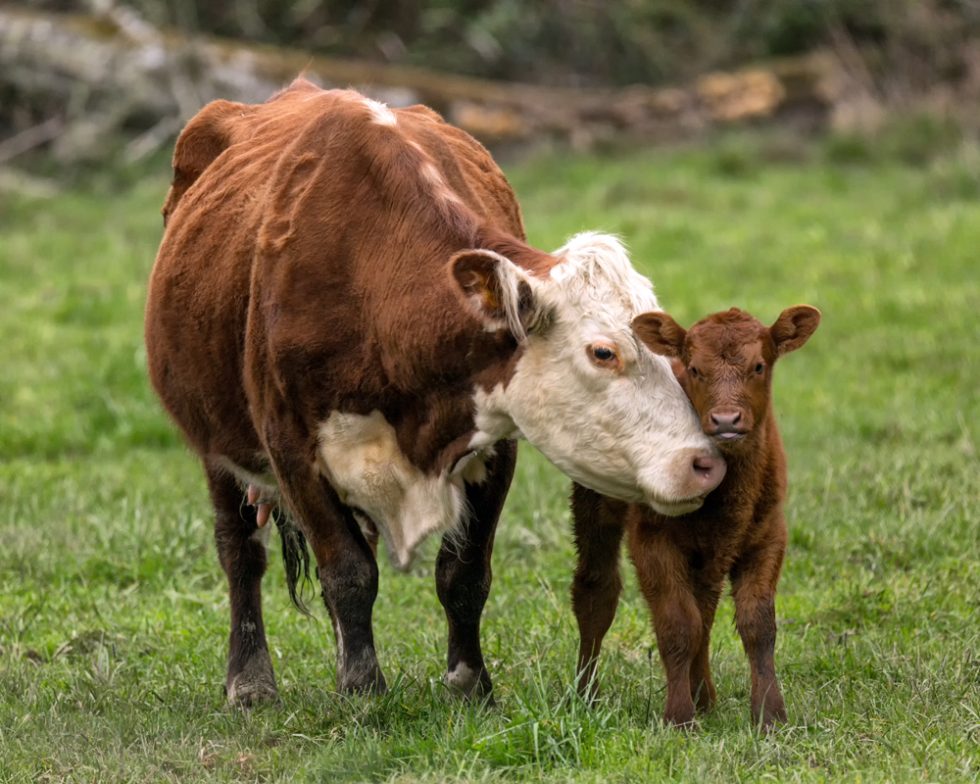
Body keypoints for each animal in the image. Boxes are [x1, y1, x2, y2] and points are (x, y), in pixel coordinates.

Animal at [144, 79, 725, 706]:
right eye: (603, 352)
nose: (704, 464)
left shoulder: (495, 441)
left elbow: (463, 573)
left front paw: (469, 682)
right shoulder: (292, 449)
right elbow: (348, 571)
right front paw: (364, 690)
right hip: (217, 445)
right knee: (240, 552)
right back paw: (250, 680)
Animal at [570, 305, 820, 728]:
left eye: (758, 366)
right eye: (695, 369)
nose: (726, 420)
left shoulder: (768, 535)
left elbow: (757, 624)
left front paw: (770, 714)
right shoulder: (652, 538)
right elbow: (677, 624)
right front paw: (678, 716)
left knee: (704, 606)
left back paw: (705, 696)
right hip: (594, 501)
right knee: (596, 590)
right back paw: (586, 695)